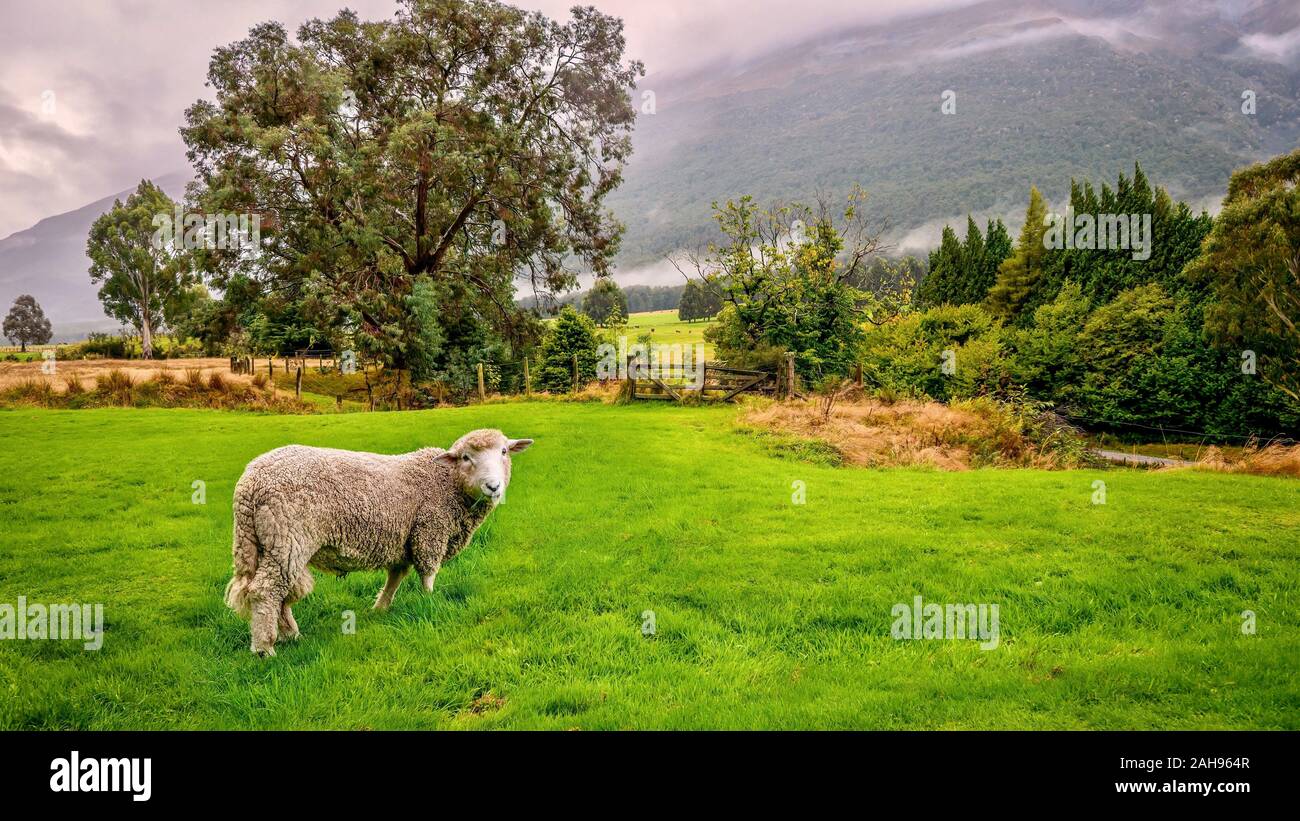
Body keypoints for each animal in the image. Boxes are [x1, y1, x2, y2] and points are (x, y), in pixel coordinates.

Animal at [224, 428, 533, 656]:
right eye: (466, 457)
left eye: (504, 452)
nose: (493, 487)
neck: (447, 483)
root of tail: (249, 483)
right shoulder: (429, 531)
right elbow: (428, 574)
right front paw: (429, 601)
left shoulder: (403, 541)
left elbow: (395, 577)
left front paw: (380, 609)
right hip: (286, 538)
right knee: (266, 591)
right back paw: (264, 648)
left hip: (268, 543)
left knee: (281, 592)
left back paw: (291, 635)